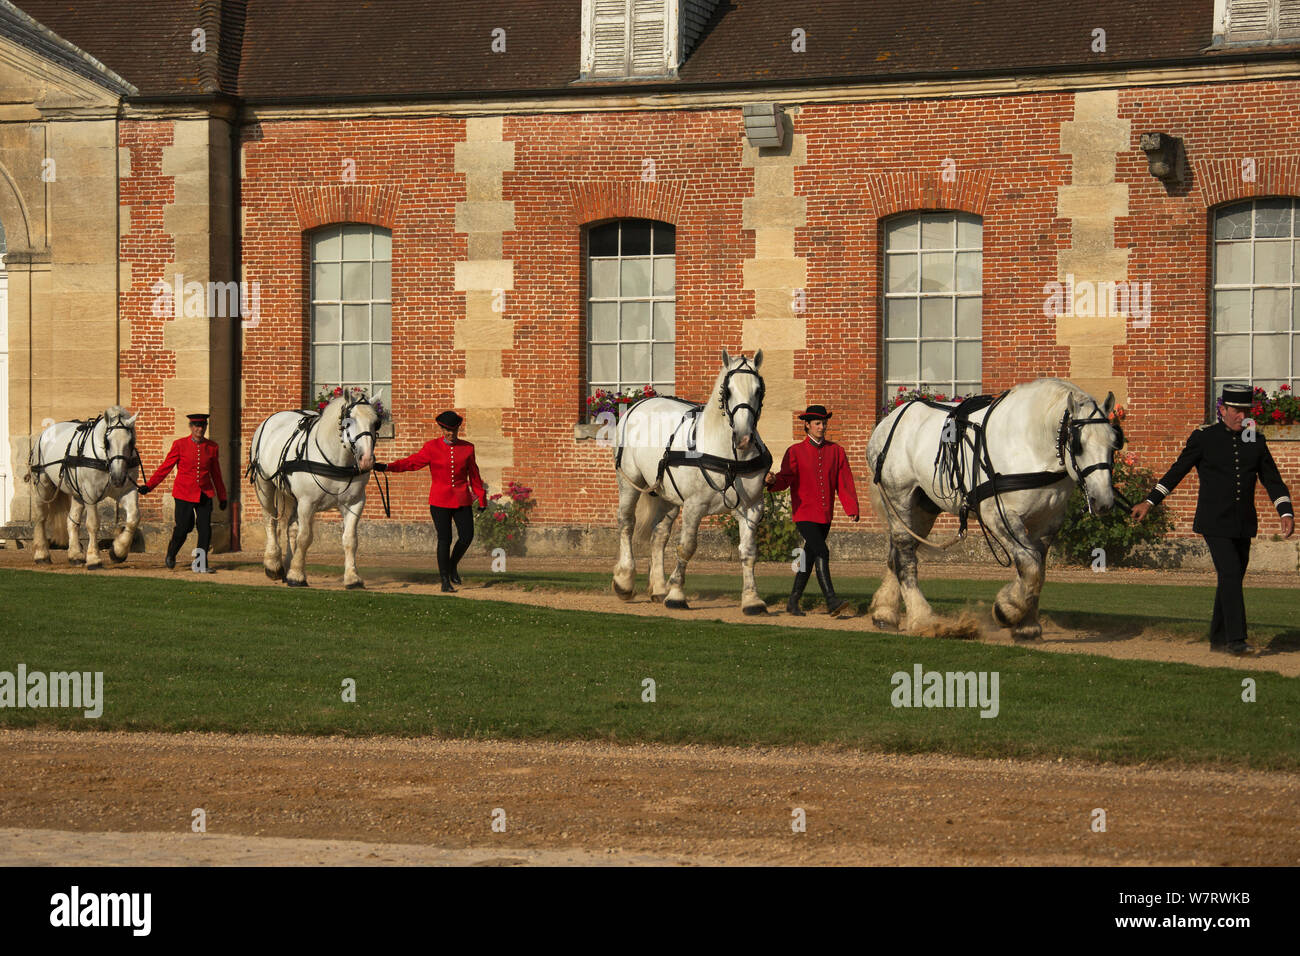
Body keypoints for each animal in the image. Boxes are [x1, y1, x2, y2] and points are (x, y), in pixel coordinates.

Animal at [25, 406, 142, 569]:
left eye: (131, 442)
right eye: (107, 442)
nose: (118, 478)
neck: (104, 461)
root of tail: (46, 432)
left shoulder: (127, 491)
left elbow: (133, 518)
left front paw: (118, 551)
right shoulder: (90, 494)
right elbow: (93, 524)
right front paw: (94, 559)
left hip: (77, 493)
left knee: (72, 521)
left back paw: (75, 555)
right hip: (43, 486)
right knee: (41, 518)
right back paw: (41, 554)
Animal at [246, 391, 381, 588]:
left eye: (376, 422)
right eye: (349, 422)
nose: (366, 460)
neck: (334, 460)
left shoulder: (355, 502)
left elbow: (350, 539)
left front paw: (352, 577)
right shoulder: (307, 502)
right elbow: (305, 537)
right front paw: (297, 575)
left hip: (291, 497)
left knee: (291, 528)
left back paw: (287, 564)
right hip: (264, 486)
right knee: (270, 521)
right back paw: (273, 564)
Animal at [612, 349, 771, 614]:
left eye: (759, 390)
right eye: (728, 390)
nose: (744, 438)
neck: (728, 456)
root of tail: (642, 402)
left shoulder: (752, 507)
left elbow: (748, 552)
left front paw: (752, 599)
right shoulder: (694, 507)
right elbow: (686, 547)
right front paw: (677, 594)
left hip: (668, 496)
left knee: (659, 536)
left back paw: (658, 587)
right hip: (629, 482)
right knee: (626, 524)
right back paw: (624, 580)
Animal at [866, 378, 1124, 640]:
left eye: (1114, 443)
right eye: (1078, 444)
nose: (1103, 501)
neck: (1030, 445)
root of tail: (888, 421)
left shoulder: (1048, 521)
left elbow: (1037, 569)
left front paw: (1027, 624)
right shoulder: (999, 515)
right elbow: (1030, 565)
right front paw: (1006, 610)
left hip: (922, 508)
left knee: (897, 553)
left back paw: (885, 613)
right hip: (899, 499)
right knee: (905, 556)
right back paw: (922, 618)